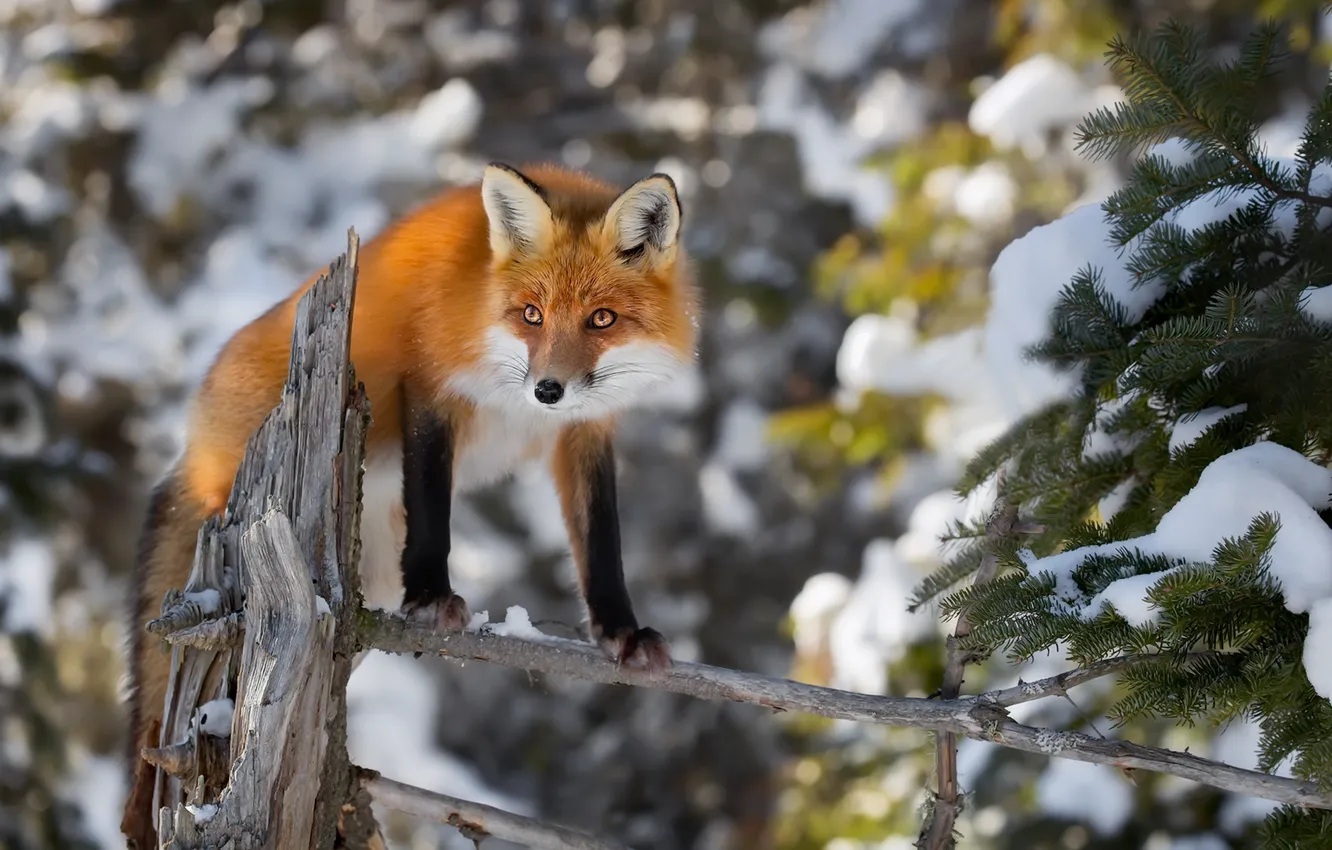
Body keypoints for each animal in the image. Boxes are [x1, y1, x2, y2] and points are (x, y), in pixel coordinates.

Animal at [120, 162, 699, 848]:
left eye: (602, 319)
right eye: (532, 315)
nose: (548, 389)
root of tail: (192, 448)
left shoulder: (585, 431)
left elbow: (601, 542)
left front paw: (621, 631)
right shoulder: (430, 384)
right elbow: (432, 509)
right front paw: (430, 596)